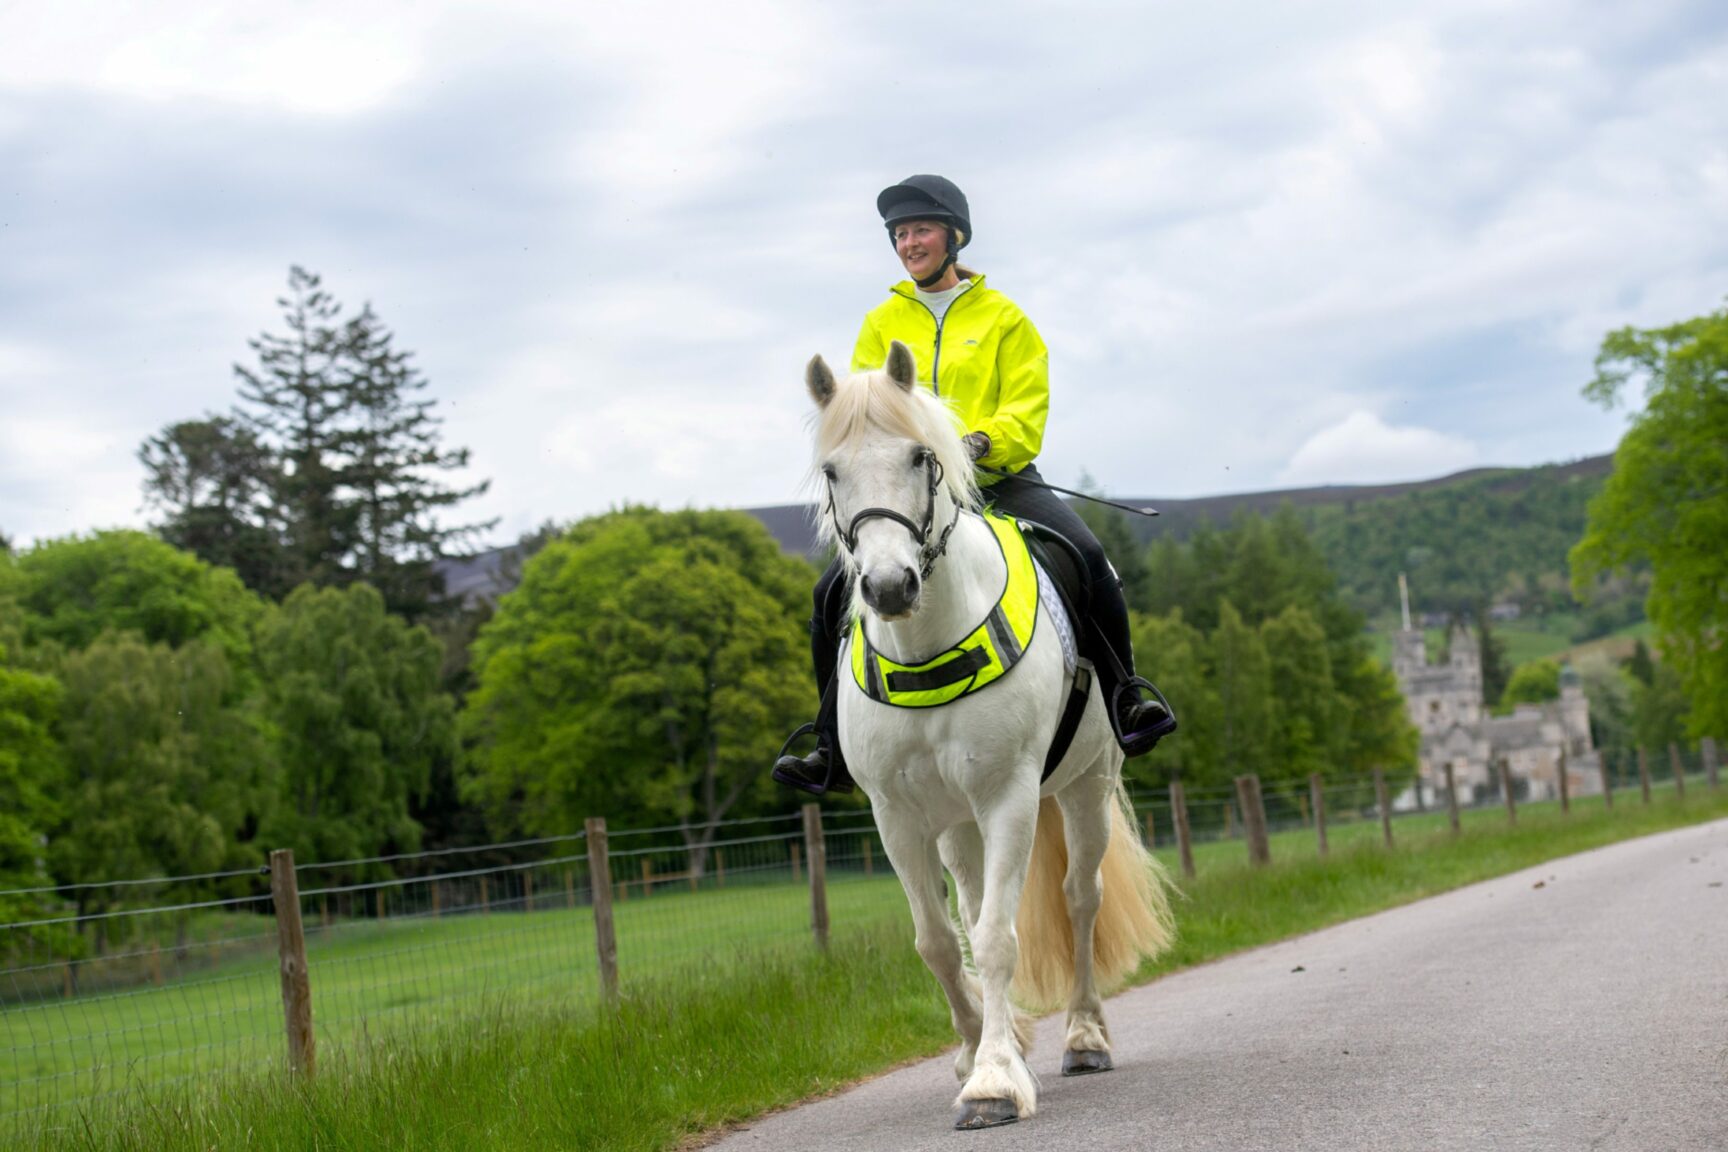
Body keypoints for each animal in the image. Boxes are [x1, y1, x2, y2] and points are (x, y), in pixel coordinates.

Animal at [805, 339, 1175, 1130]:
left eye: (920, 456)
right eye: (831, 470)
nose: (889, 587)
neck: (927, 648)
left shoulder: (1009, 795)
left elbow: (999, 938)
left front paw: (995, 1081)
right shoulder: (898, 815)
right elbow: (942, 942)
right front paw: (978, 1051)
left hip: (1086, 788)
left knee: (1079, 898)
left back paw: (1085, 1035)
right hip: (956, 822)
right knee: (973, 906)